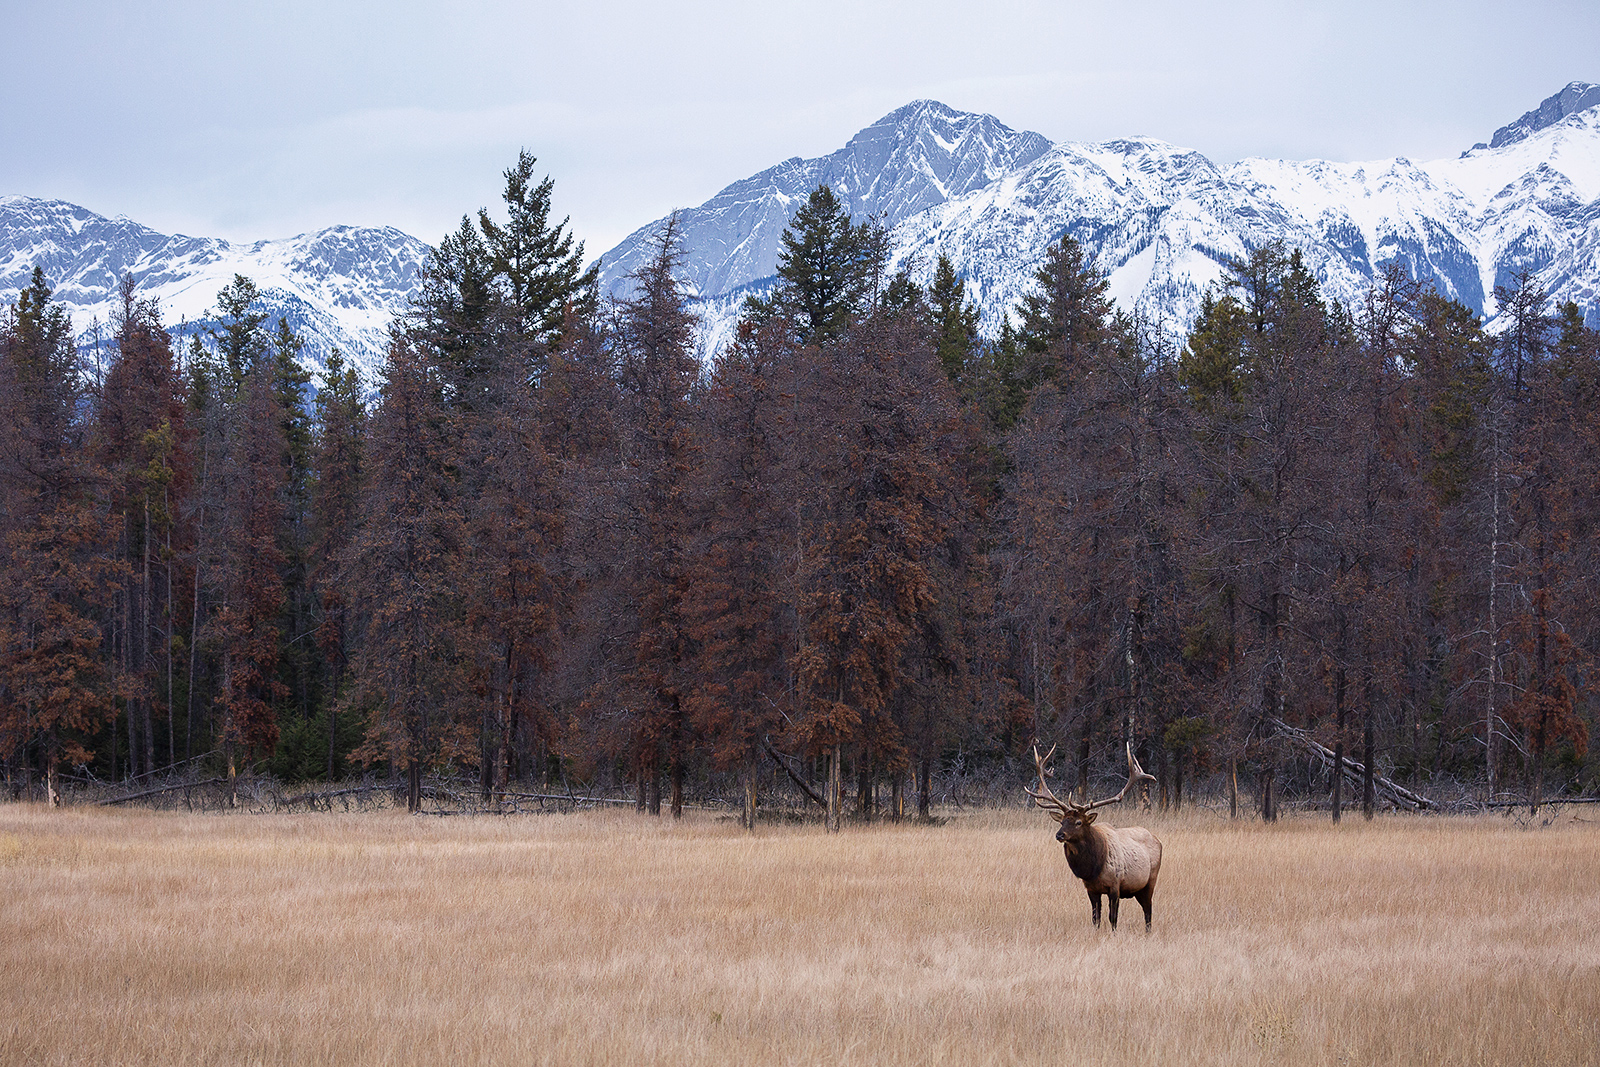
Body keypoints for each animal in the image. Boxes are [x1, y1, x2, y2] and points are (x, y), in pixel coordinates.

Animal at [1027, 742, 1162, 932]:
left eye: (1078, 822)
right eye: (1062, 821)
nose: (1059, 835)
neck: (1093, 868)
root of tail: (1157, 839)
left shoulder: (1115, 885)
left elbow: (1113, 918)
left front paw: (1113, 934)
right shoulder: (1091, 889)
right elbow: (1095, 918)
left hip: (1150, 880)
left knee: (1148, 911)